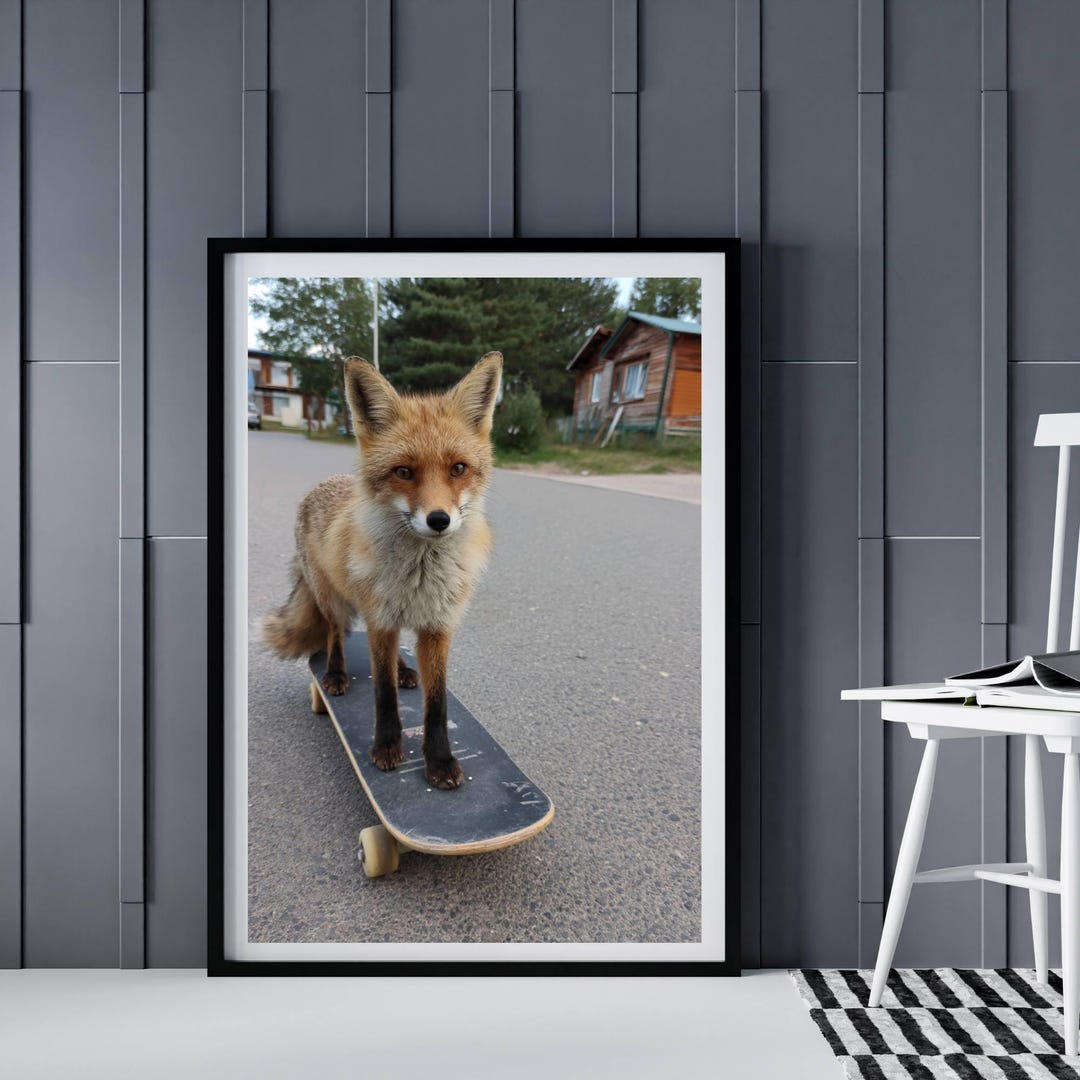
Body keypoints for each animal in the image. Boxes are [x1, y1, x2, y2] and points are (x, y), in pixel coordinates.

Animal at [261, 351, 503, 790]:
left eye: (458, 469)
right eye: (404, 472)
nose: (439, 520)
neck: (422, 575)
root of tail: (323, 484)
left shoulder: (438, 625)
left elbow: (437, 703)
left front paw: (439, 761)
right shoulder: (381, 619)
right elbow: (384, 693)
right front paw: (387, 747)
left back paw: (406, 668)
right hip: (335, 599)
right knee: (336, 634)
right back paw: (336, 674)